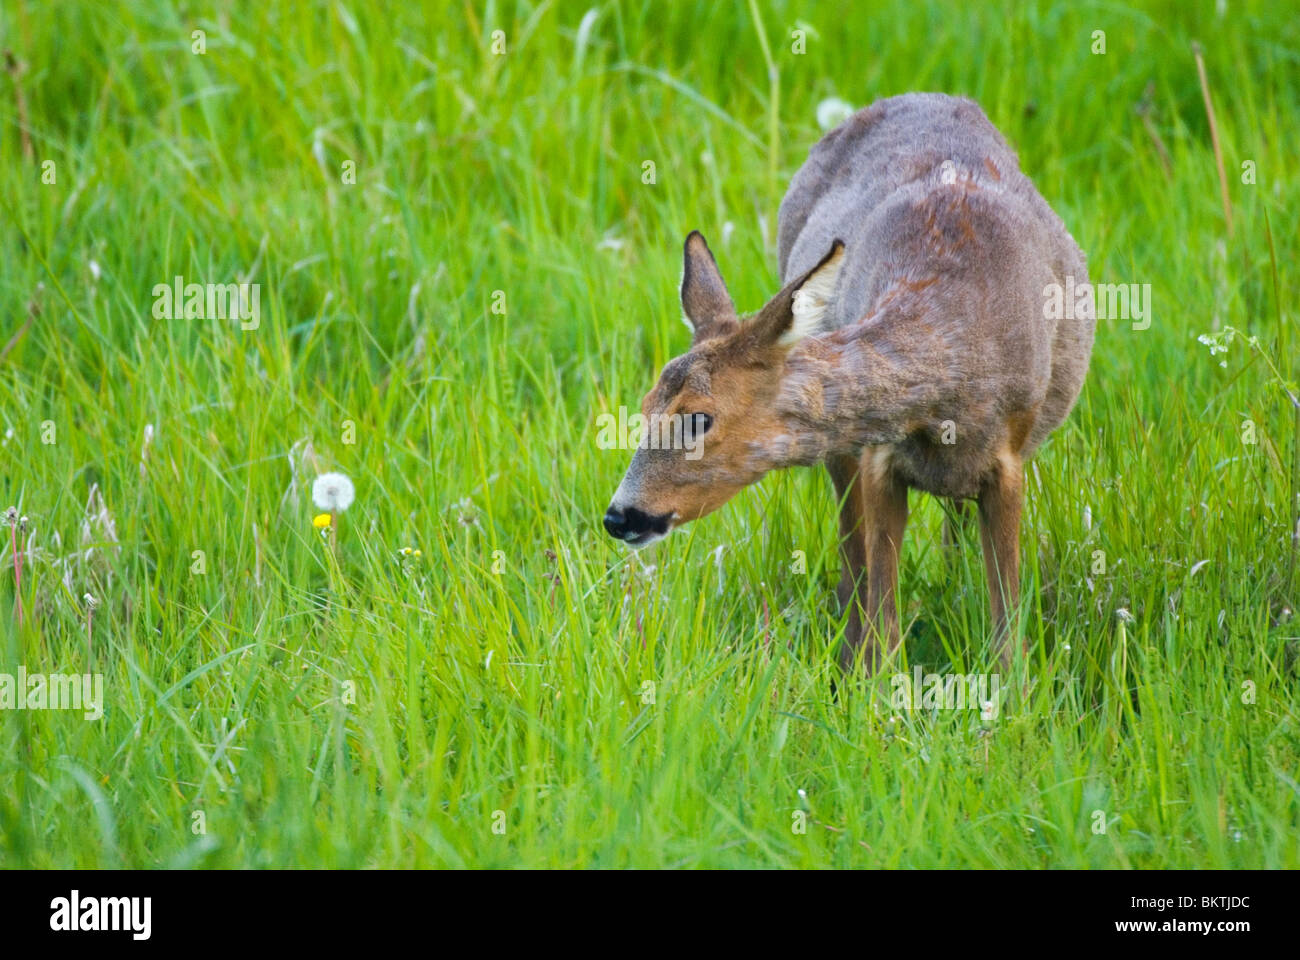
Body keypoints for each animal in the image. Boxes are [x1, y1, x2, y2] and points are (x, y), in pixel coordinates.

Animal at [603, 93, 1094, 673]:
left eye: (699, 417)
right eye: (645, 405)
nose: (620, 515)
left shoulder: (1009, 461)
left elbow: (1007, 629)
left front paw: (1011, 691)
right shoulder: (880, 459)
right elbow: (884, 624)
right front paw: (873, 686)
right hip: (844, 456)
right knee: (855, 560)